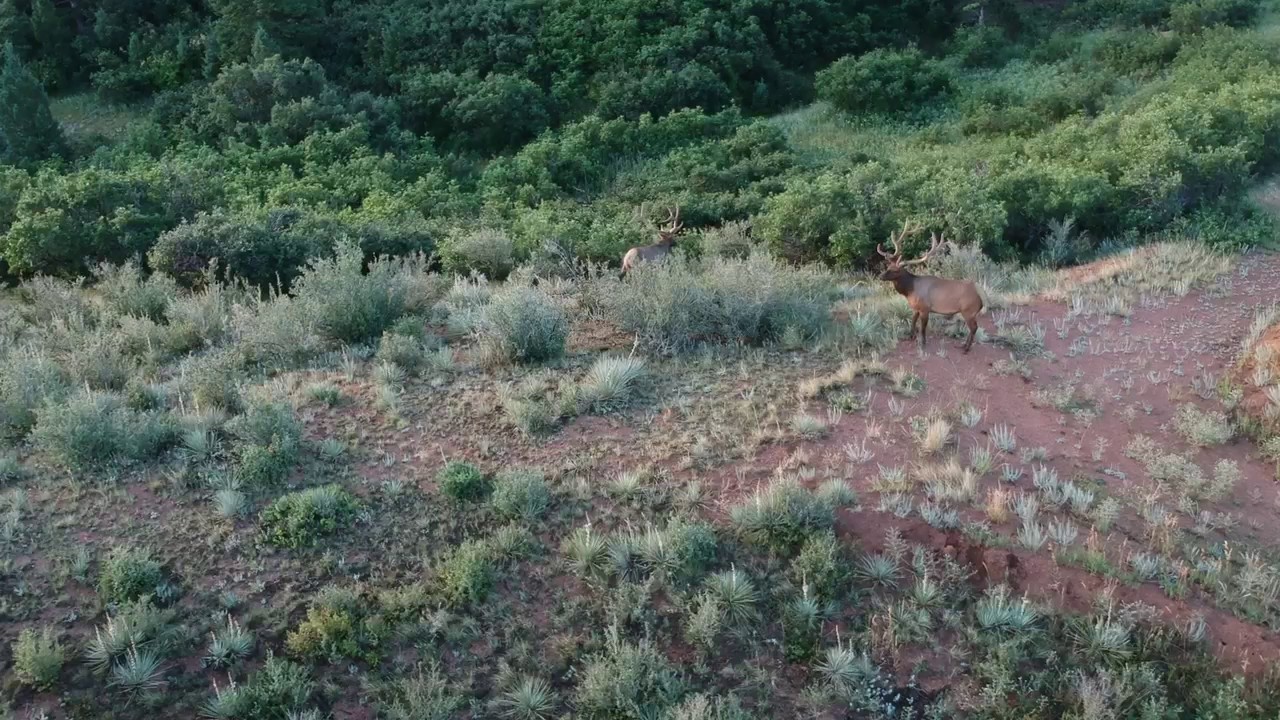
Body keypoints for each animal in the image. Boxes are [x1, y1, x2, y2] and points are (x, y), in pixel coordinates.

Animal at [876, 221, 984, 353]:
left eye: (896, 270)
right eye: (888, 267)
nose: (881, 276)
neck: (910, 291)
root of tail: (981, 300)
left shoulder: (925, 308)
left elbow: (923, 328)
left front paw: (922, 344)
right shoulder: (916, 308)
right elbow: (913, 321)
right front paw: (910, 337)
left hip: (968, 310)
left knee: (974, 327)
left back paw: (966, 348)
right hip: (970, 313)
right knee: (973, 327)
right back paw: (963, 345)